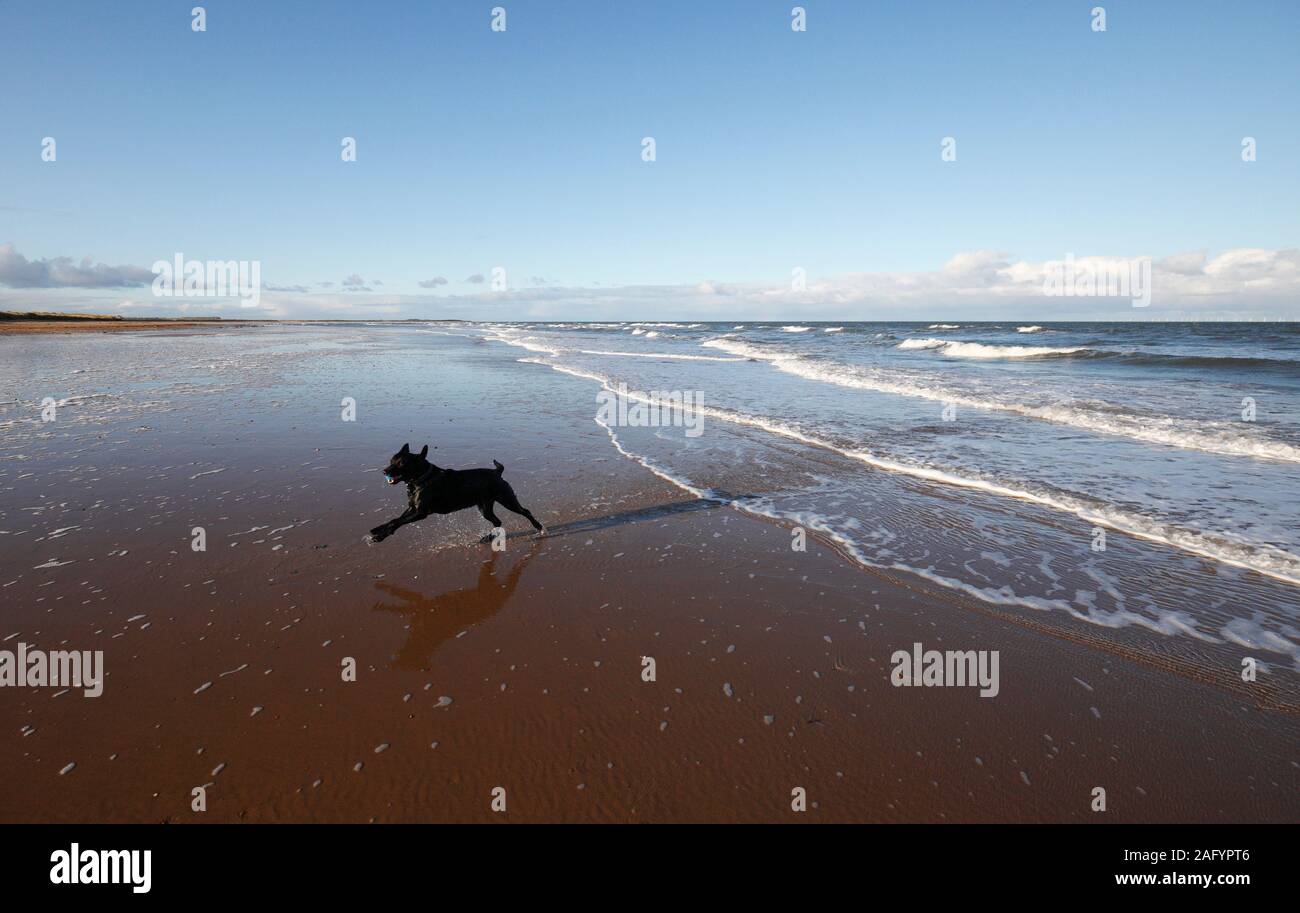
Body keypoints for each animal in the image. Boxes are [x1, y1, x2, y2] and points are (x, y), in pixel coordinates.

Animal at [369, 447, 546, 546]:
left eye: (401, 463)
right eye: (391, 460)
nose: (385, 471)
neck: (422, 479)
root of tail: (497, 472)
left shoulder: (420, 513)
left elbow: (397, 522)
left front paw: (379, 537)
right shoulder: (412, 508)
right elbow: (394, 520)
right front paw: (377, 532)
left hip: (506, 498)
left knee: (525, 512)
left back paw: (539, 527)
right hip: (485, 507)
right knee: (497, 521)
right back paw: (487, 537)